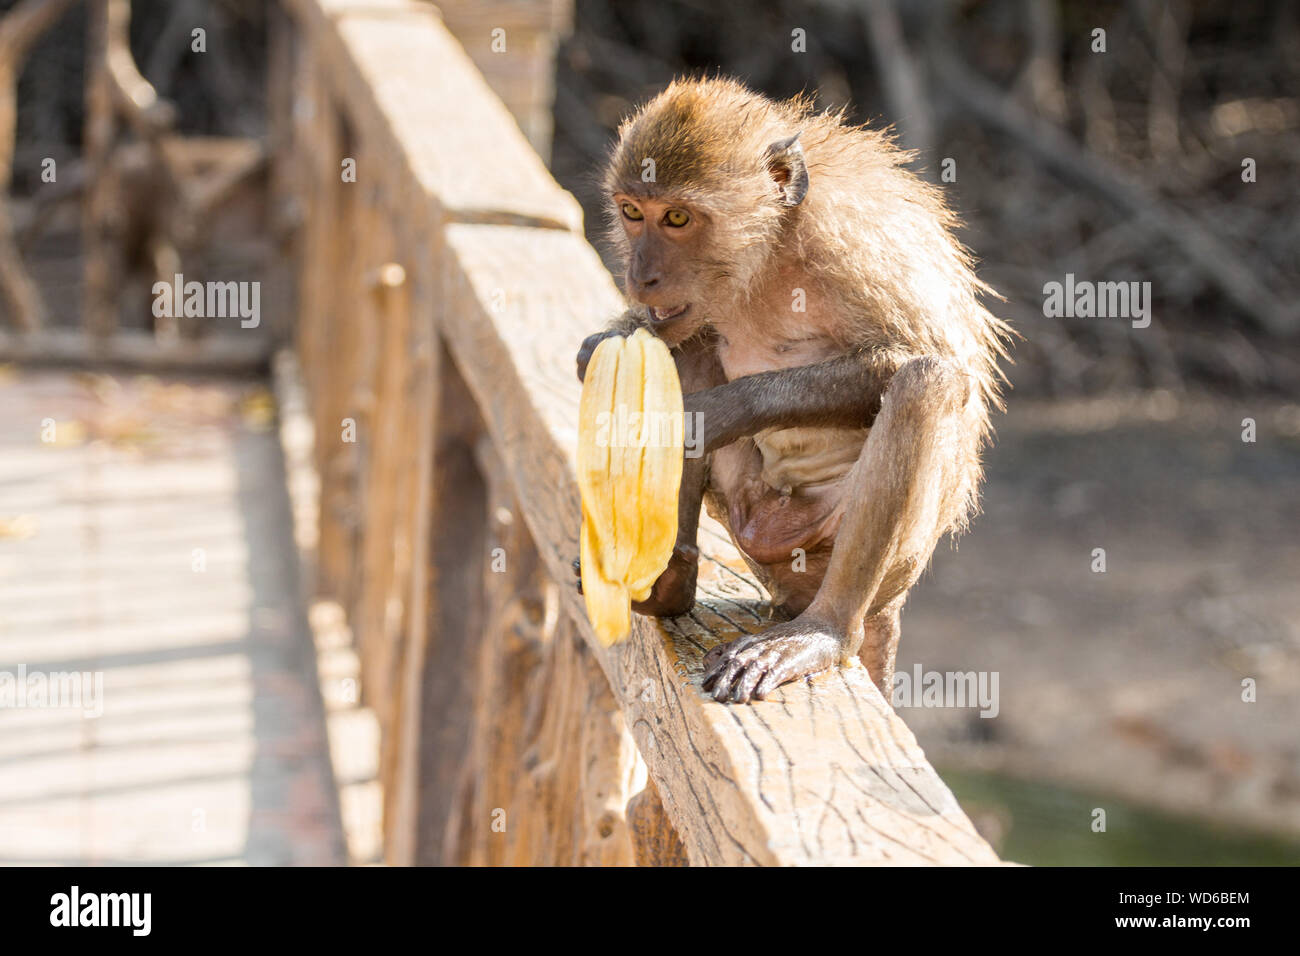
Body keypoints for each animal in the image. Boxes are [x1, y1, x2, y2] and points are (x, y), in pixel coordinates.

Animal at [575, 77, 1012, 704]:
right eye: (633, 213)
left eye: (677, 218)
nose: (641, 276)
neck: (769, 249)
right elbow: (671, 336)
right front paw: (606, 343)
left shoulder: (849, 239)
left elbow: (927, 358)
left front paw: (710, 414)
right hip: (752, 522)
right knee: (690, 344)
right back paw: (672, 582)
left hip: (863, 553)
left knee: (924, 384)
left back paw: (824, 632)